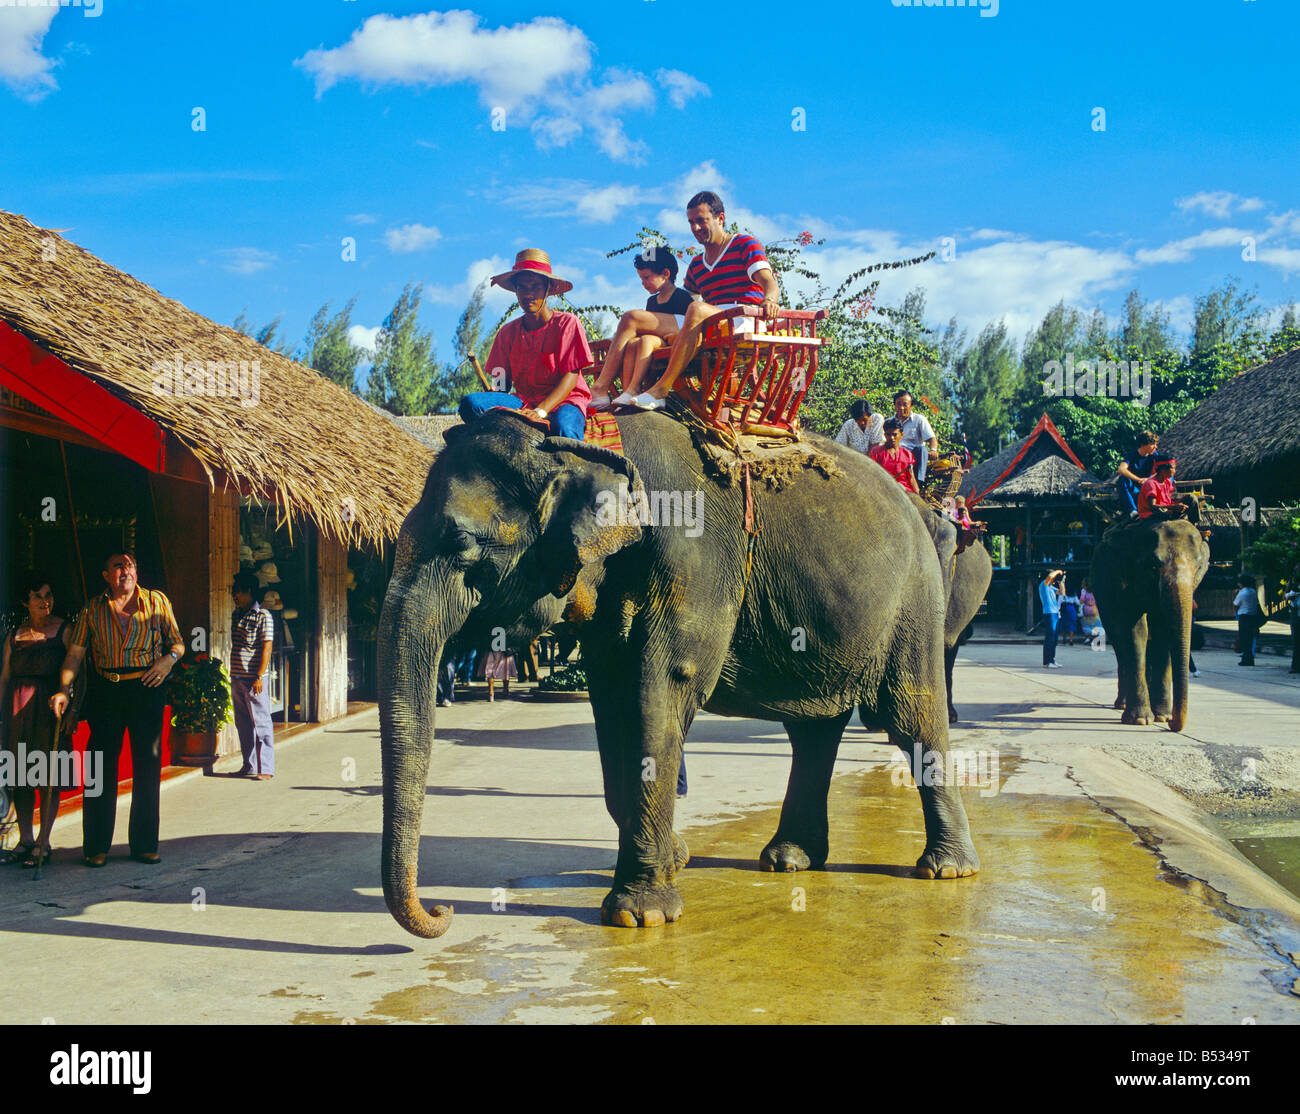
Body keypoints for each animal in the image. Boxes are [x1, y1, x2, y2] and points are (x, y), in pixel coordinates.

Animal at [379, 408, 979, 939]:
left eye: (462, 545)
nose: (441, 911)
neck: (587, 443)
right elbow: (614, 701)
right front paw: (673, 862)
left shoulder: (695, 560)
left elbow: (662, 688)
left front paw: (639, 915)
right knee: (813, 729)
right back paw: (789, 860)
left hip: (914, 603)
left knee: (911, 717)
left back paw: (946, 870)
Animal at [1089, 515, 1209, 732]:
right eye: (1153, 566)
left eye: (1198, 568)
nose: (1173, 724)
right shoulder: (1122, 579)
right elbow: (1135, 631)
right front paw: (1141, 720)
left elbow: (1162, 632)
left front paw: (1162, 716)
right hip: (1101, 588)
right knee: (1118, 638)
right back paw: (1122, 705)